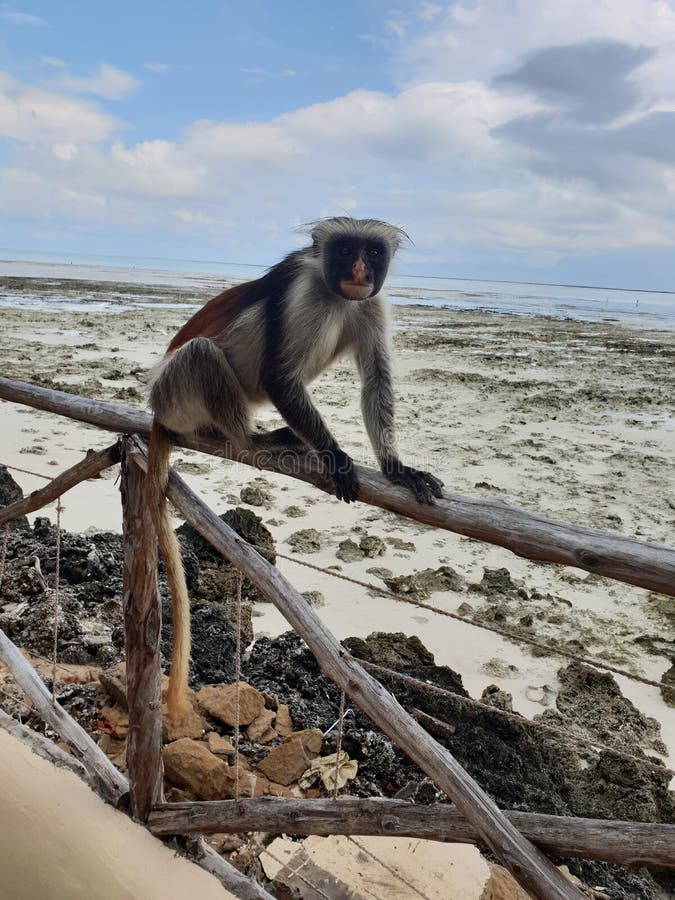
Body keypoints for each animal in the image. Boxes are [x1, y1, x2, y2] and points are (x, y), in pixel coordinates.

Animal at [146, 217, 444, 720]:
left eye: (372, 252)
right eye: (344, 251)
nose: (359, 270)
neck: (336, 294)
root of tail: (155, 411)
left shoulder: (370, 301)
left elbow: (376, 380)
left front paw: (397, 468)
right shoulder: (305, 291)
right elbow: (278, 377)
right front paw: (336, 456)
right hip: (175, 392)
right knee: (203, 352)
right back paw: (254, 438)